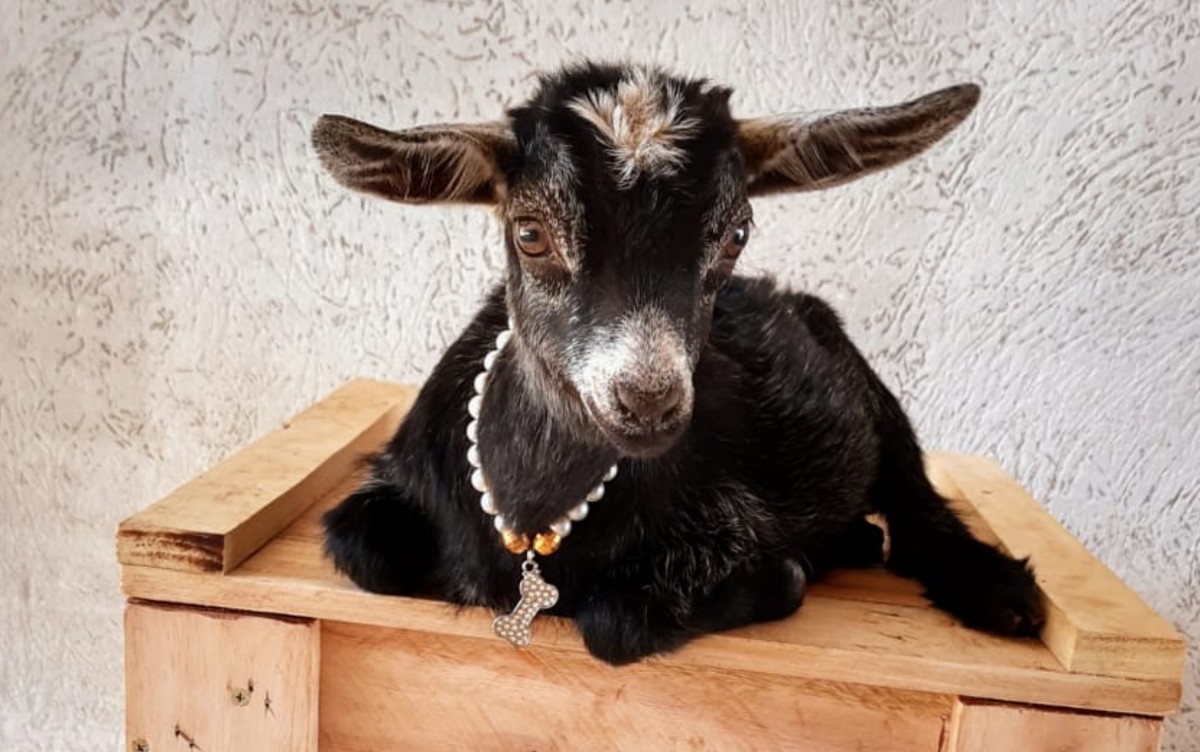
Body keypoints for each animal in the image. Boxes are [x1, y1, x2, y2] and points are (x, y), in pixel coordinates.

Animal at [311, 61, 1045, 665]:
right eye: (530, 233)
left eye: (736, 233)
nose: (648, 402)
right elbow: (360, 549)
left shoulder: (726, 525)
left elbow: (614, 623)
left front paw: (782, 577)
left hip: (860, 375)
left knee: (915, 492)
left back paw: (999, 592)